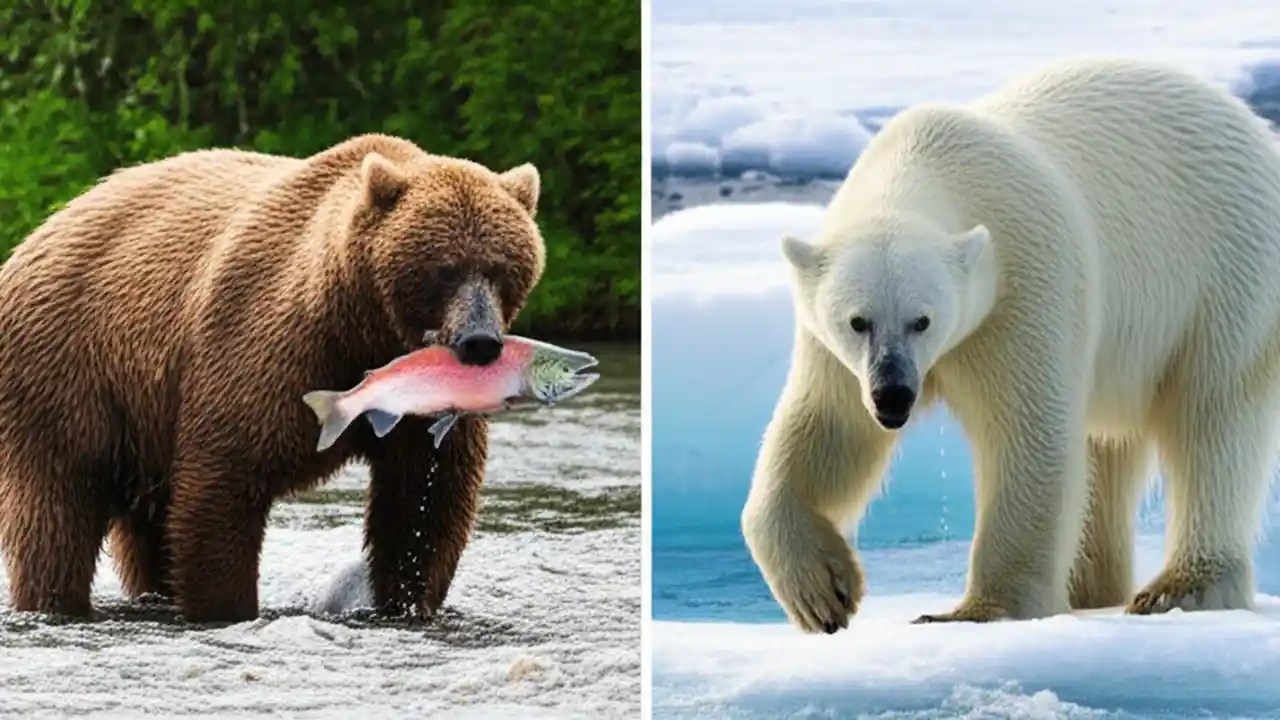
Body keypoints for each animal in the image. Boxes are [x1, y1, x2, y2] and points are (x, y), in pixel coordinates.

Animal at [0, 133, 544, 622]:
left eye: (501, 268)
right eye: (445, 269)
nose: (479, 341)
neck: (360, 327)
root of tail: (37, 234)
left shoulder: (422, 400)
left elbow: (426, 501)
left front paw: (405, 599)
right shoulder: (268, 346)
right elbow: (224, 482)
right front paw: (225, 606)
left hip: (142, 417)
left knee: (145, 521)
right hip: (69, 369)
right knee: (58, 510)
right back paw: (53, 600)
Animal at [742, 57, 1280, 634]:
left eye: (923, 320)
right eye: (857, 321)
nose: (893, 396)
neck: (935, 159)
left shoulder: (1023, 279)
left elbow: (1029, 432)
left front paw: (975, 611)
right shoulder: (834, 351)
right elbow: (828, 427)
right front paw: (821, 591)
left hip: (1227, 273)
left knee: (1212, 415)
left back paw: (1181, 586)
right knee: (1108, 448)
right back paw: (1091, 587)